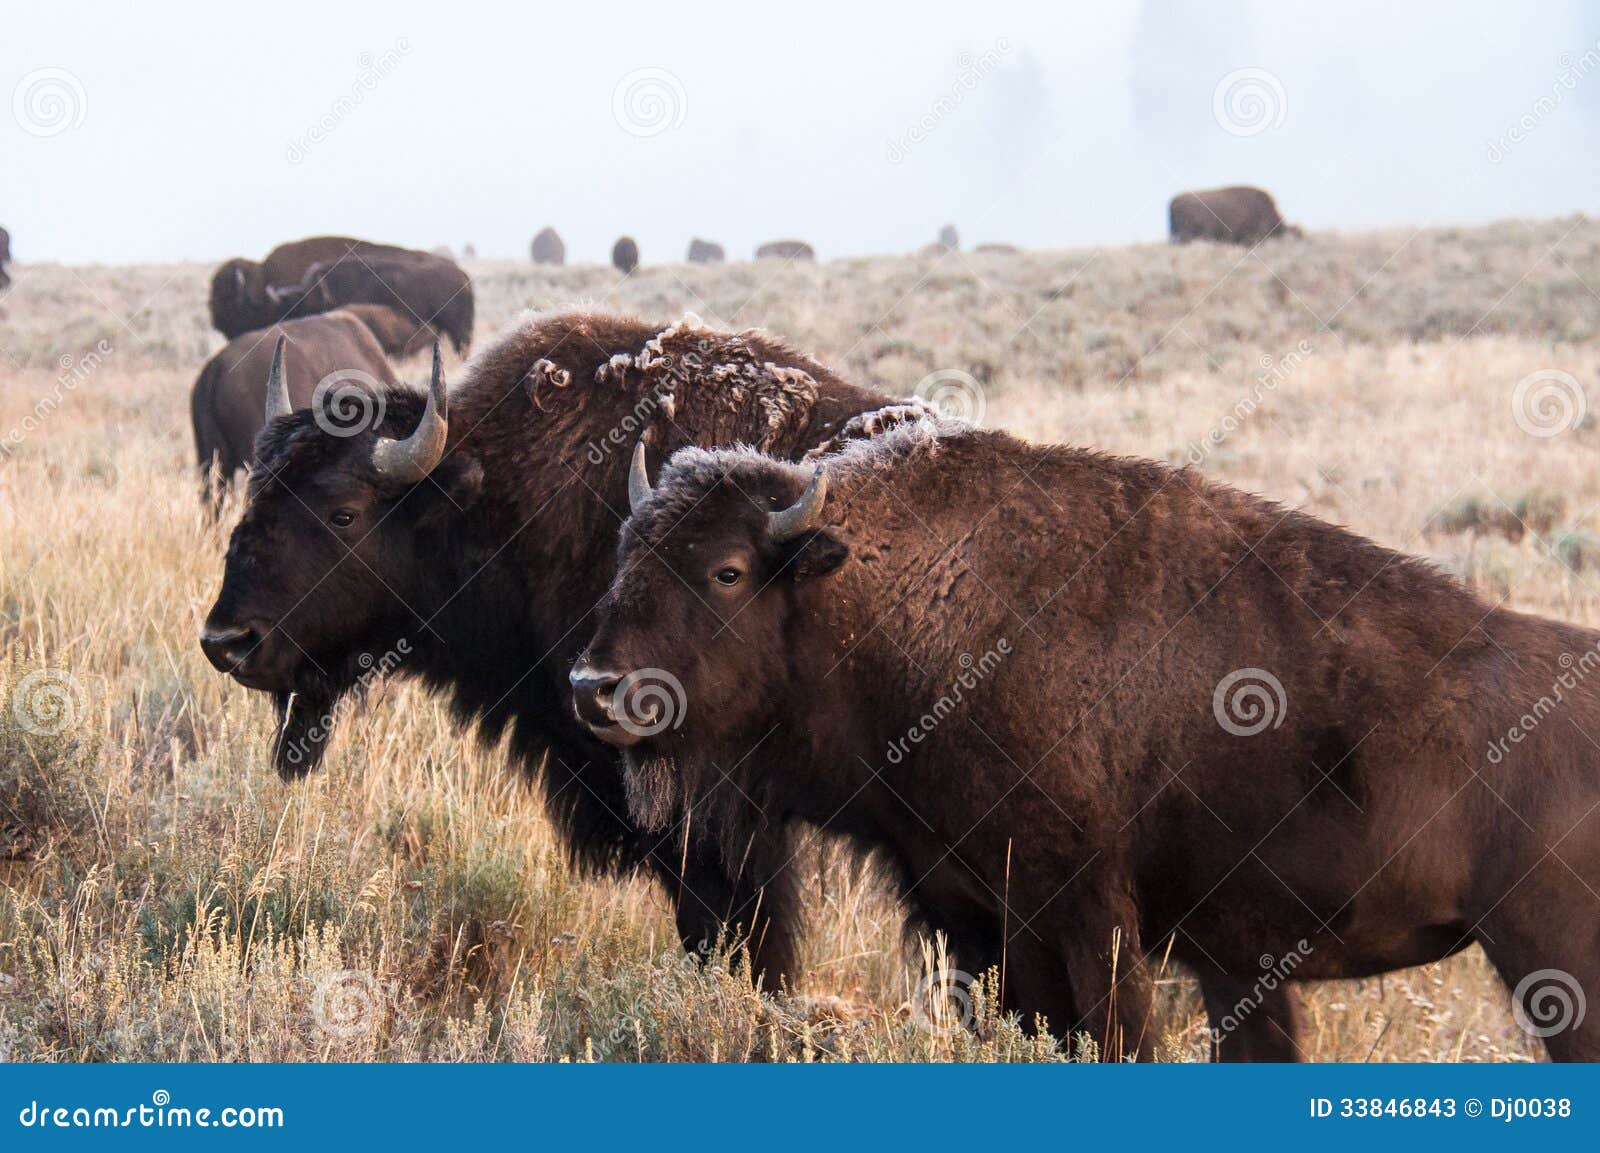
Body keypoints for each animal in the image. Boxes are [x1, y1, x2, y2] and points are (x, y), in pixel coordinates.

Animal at [576, 418, 1600, 1061]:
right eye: (624, 556)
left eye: (727, 569)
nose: (597, 689)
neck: (873, 600)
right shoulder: (968, 913)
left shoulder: (1078, 912)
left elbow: (1114, 1038)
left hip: (1549, 959)